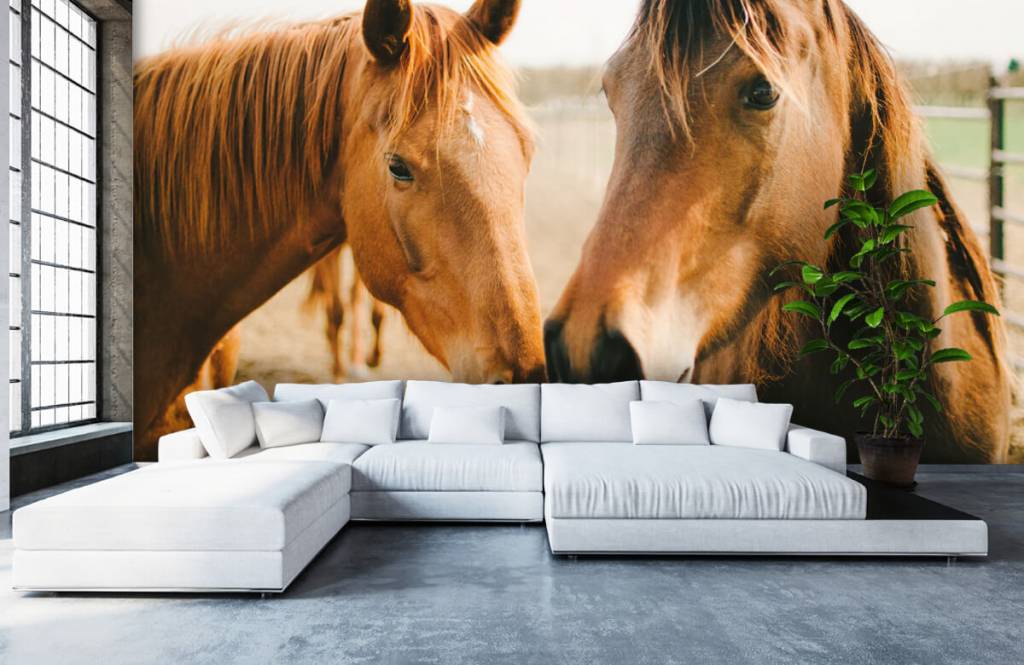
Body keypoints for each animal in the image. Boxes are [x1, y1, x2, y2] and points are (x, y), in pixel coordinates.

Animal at [305, 247, 387, 380]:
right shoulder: (331, 255)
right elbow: (337, 313)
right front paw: (338, 371)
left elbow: (377, 313)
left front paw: (374, 358)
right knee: (326, 295)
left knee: (354, 296)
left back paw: (357, 360)